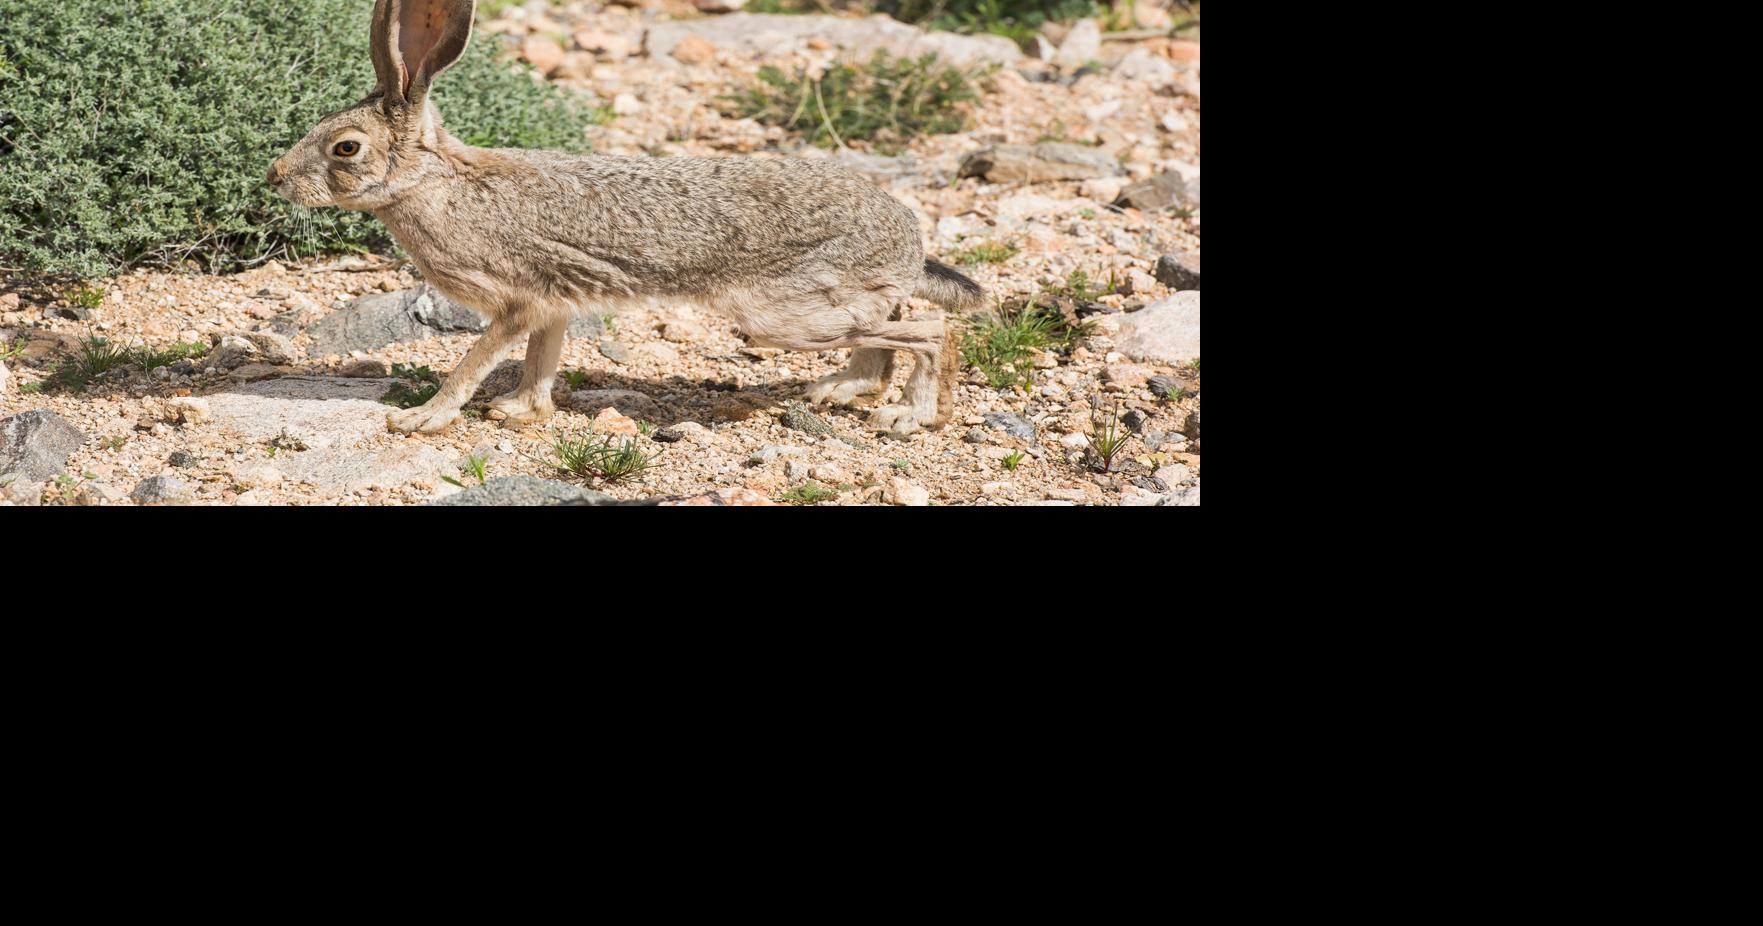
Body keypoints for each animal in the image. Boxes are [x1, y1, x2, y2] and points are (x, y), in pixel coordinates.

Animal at [268, 0, 986, 437]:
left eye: (345, 148)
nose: (275, 177)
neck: (435, 184)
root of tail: (908, 240)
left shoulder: (515, 301)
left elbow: (473, 361)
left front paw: (423, 419)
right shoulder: (553, 305)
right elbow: (543, 360)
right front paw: (521, 411)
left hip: (786, 317)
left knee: (932, 330)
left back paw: (914, 416)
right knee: (889, 331)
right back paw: (841, 391)